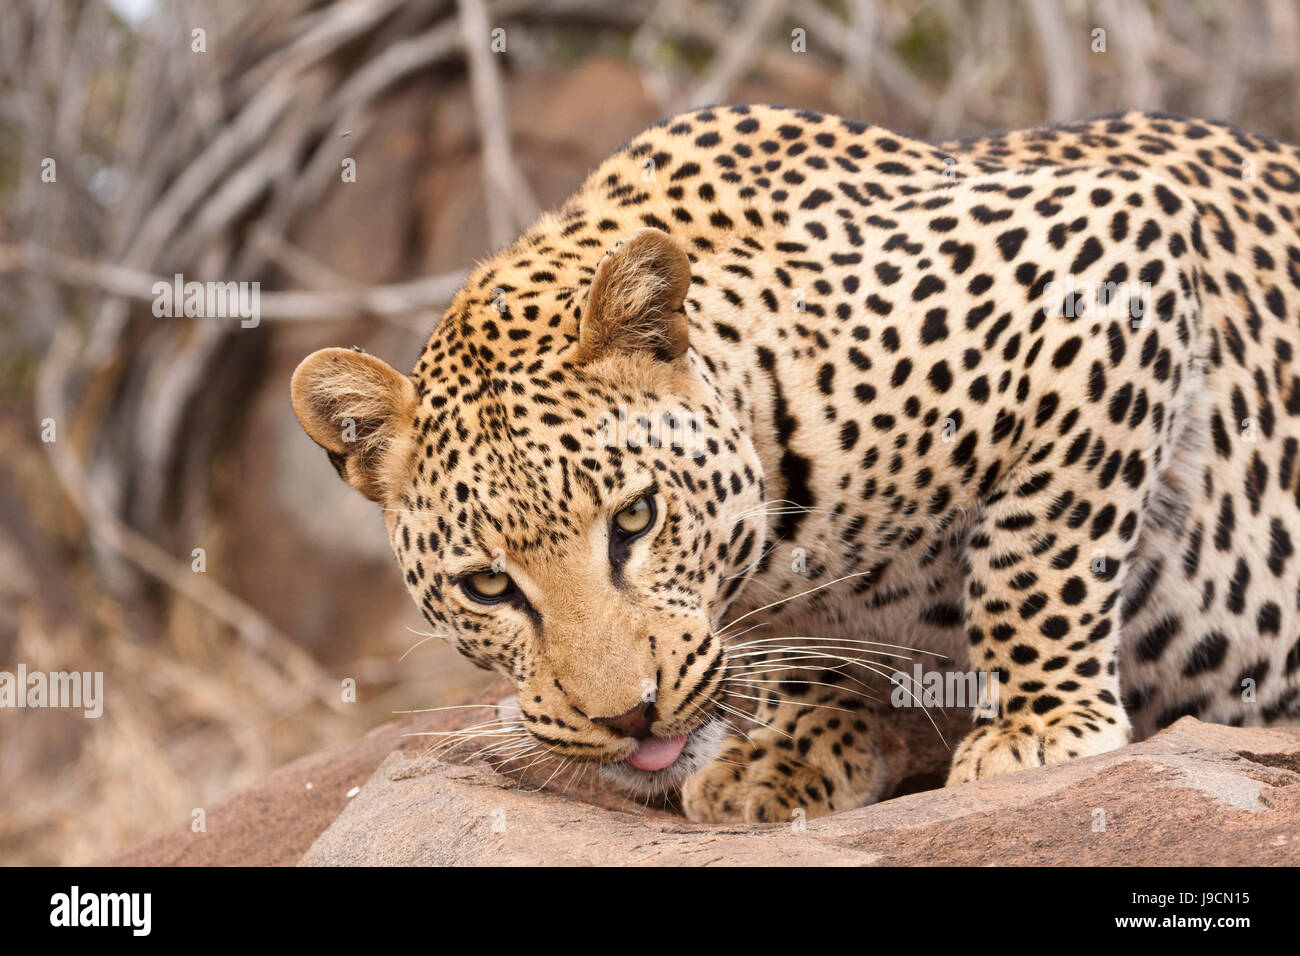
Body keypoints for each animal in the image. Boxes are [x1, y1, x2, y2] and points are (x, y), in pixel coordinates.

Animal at [291, 105, 1300, 824]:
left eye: (634, 519)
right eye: (488, 587)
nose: (629, 718)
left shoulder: (1109, 259)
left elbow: (1039, 551)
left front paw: (1037, 727)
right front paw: (796, 747)